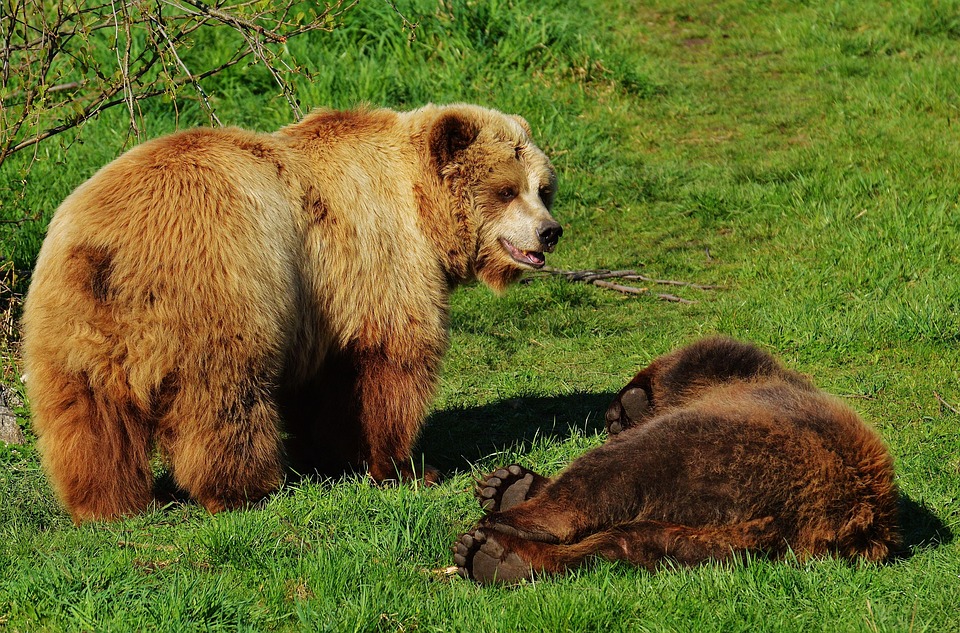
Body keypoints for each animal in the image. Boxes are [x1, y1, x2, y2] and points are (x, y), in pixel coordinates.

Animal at [21, 104, 562, 523]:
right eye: (505, 190)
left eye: (543, 187)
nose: (550, 231)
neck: (419, 206)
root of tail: (106, 249)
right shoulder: (375, 257)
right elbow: (386, 369)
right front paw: (407, 468)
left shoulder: (318, 308)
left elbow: (324, 388)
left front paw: (329, 453)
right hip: (220, 285)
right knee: (226, 396)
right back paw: (245, 490)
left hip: (69, 324)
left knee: (90, 420)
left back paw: (104, 502)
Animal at [454, 337, 900, 584]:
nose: (612, 419)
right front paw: (507, 481)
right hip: (729, 539)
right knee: (623, 546)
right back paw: (496, 553)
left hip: (726, 454)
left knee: (617, 473)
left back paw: (506, 525)